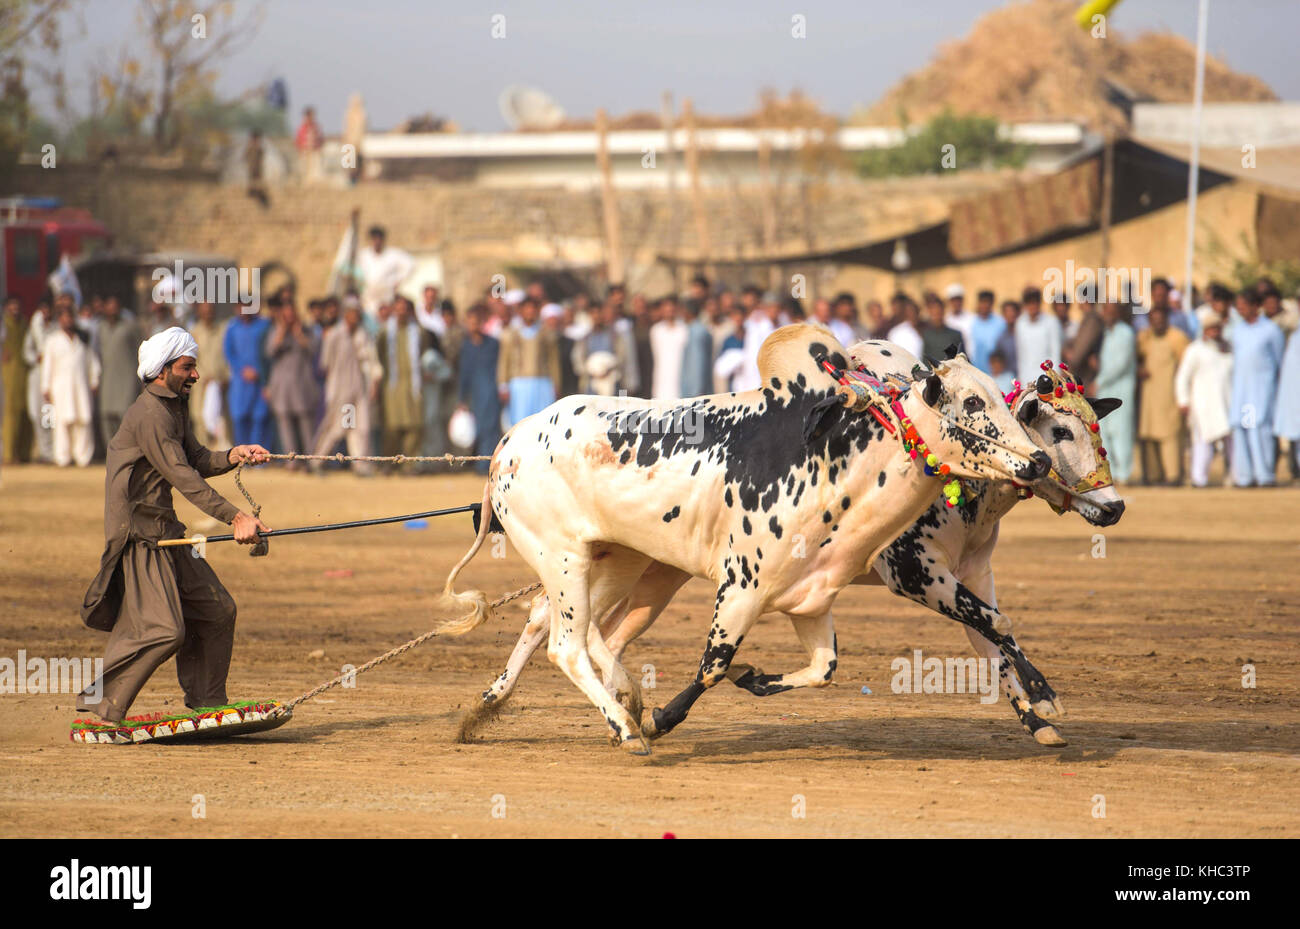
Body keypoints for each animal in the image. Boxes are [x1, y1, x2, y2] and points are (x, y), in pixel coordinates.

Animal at [460, 343, 1124, 748]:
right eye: (972, 402)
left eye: (1093, 425)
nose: (1037, 462)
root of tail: (510, 442)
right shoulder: (885, 574)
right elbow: (713, 664)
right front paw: (665, 718)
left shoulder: (830, 595)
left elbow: (978, 636)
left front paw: (1038, 714)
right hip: (568, 560)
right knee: (568, 644)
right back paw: (625, 727)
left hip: (625, 566)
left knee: (566, 626)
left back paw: (501, 707)